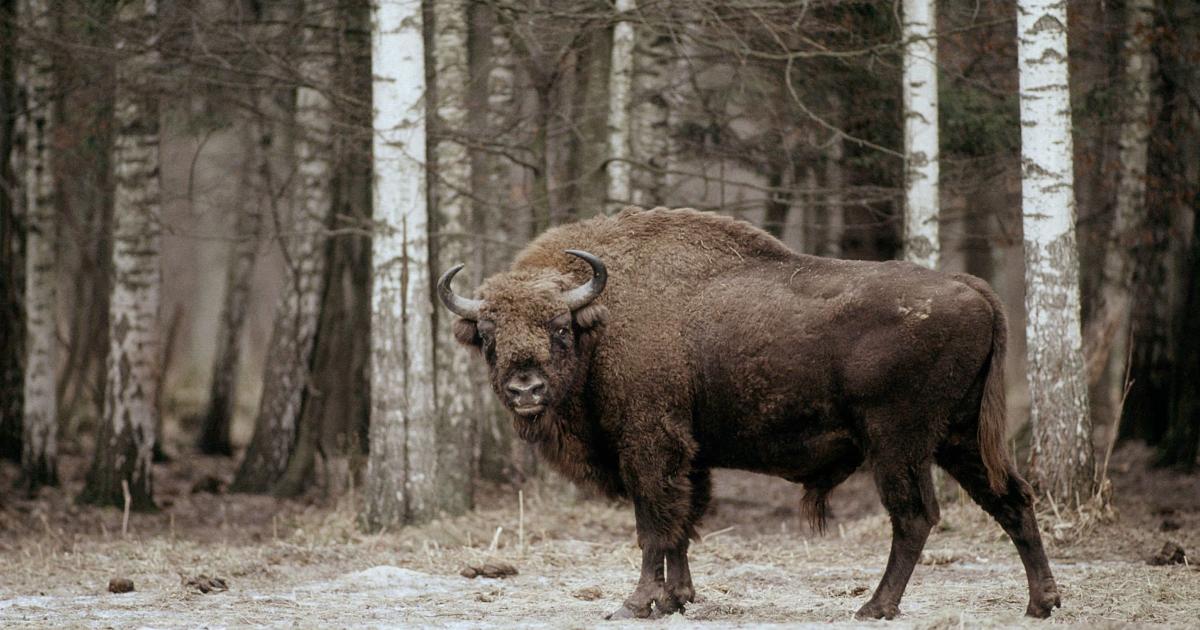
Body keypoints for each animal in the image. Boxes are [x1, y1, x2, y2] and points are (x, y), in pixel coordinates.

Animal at [438, 207, 1060, 620]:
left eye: (559, 329)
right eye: (488, 334)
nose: (525, 387)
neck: (604, 318)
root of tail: (970, 287)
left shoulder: (649, 447)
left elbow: (653, 526)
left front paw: (635, 604)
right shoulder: (689, 458)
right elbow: (682, 527)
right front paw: (678, 599)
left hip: (898, 443)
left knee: (914, 516)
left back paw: (874, 607)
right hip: (960, 438)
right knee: (1012, 500)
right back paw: (1042, 603)